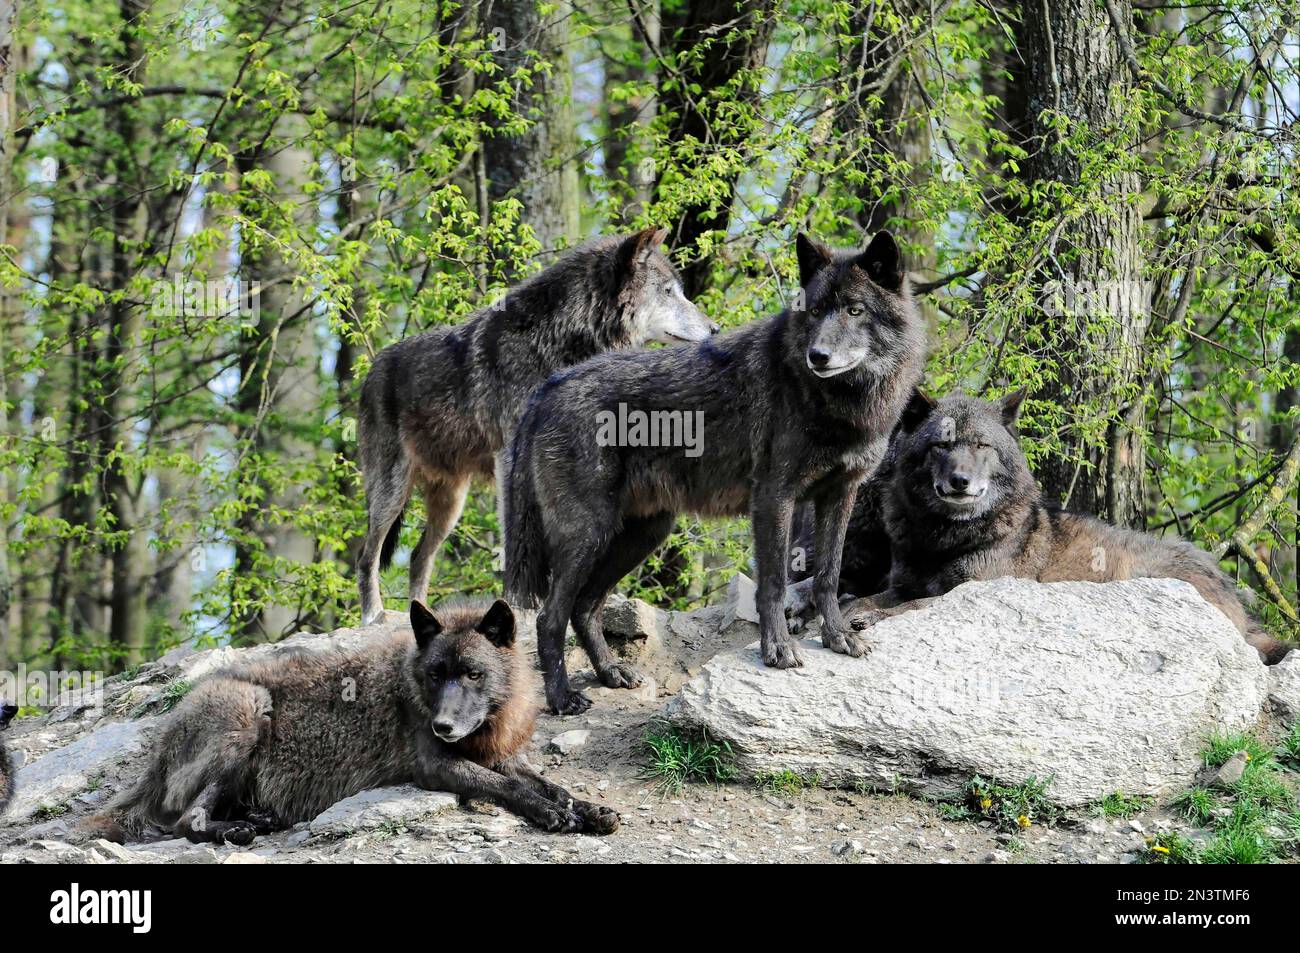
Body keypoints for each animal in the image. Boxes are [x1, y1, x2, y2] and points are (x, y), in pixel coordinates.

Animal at [77, 601, 619, 844]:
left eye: (472, 673)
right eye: (435, 674)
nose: (443, 727)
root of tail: (156, 751)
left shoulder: (504, 754)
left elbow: (550, 784)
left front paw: (589, 810)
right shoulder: (436, 768)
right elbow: (506, 788)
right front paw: (551, 814)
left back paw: (257, 819)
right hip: (251, 710)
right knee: (186, 821)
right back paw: (238, 831)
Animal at [357, 228, 715, 624]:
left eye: (679, 290)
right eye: (668, 291)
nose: (715, 328)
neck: (562, 339)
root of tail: (372, 369)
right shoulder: (512, 457)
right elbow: (518, 535)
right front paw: (519, 600)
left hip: (450, 503)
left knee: (420, 555)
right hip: (391, 493)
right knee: (367, 554)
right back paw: (373, 613)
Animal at [506, 231, 927, 714]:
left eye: (855, 310)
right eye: (815, 311)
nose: (817, 356)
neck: (839, 401)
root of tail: (548, 388)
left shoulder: (840, 495)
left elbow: (828, 575)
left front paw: (837, 638)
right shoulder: (774, 498)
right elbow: (773, 584)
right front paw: (777, 650)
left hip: (640, 536)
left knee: (585, 608)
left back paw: (611, 673)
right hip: (588, 536)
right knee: (549, 617)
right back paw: (562, 698)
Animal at [848, 389, 1289, 663]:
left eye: (980, 445)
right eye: (941, 444)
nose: (960, 481)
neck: (944, 539)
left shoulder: (970, 591)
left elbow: (909, 607)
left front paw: (870, 618)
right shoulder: (904, 581)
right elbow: (873, 597)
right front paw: (853, 610)